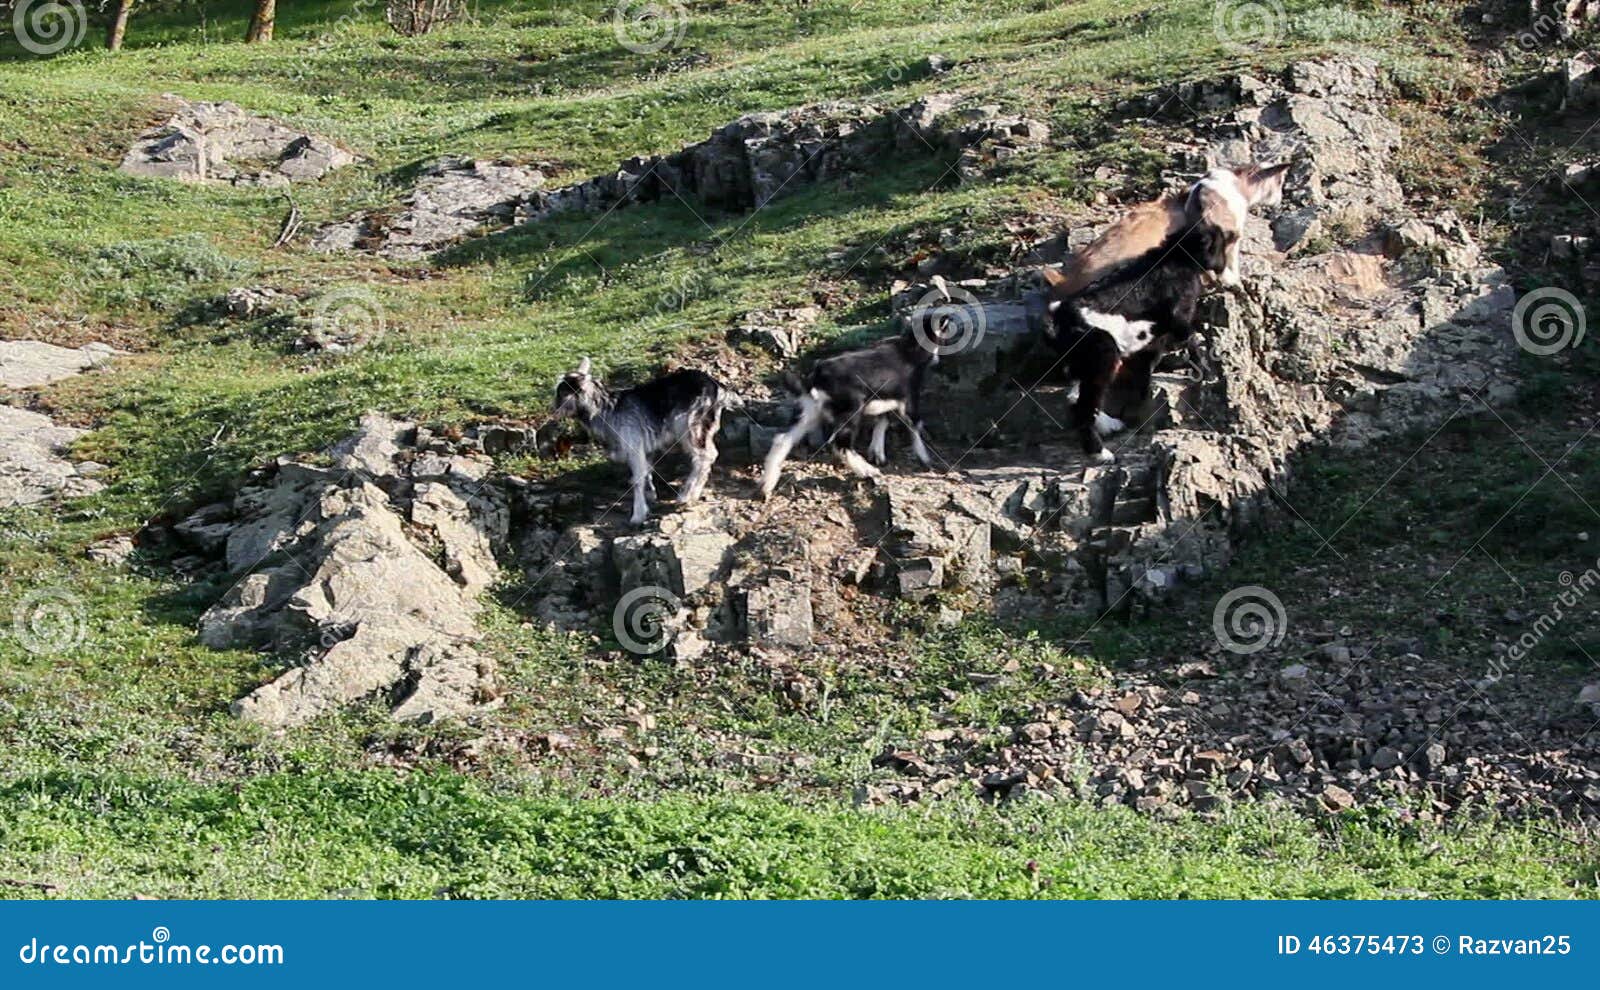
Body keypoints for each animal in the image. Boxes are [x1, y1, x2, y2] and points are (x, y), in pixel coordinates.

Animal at [552, 358, 731, 525]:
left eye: (562, 393)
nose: (553, 410)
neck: (606, 410)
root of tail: (717, 388)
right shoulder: (645, 447)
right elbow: (647, 470)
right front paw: (650, 494)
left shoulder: (633, 443)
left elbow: (637, 479)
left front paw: (637, 515)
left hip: (690, 424)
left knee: (705, 455)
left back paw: (686, 496)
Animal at [759, 319, 952, 499]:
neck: (909, 349)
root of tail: (815, 377)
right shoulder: (909, 397)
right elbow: (914, 424)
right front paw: (925, 459)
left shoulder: (885, 398)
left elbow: (883, 421)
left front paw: (878, 454)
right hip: (850, 410)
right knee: (840, 444)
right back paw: (867, 470)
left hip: (809, 409)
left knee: (783, 439)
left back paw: (766, 485)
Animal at [1040, 222, 1226, 463]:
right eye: (1221, 242)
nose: (1222, 268)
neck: (1174, 256)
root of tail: (1057, 320)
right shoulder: (1180, 318)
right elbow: (1192, 341)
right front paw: (1206, 373)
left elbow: (1147, 368)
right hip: (1103, 357)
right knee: (1084, 405)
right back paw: (1100, 453)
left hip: (1081, 363)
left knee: (1075, 396)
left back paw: (1109, 425)